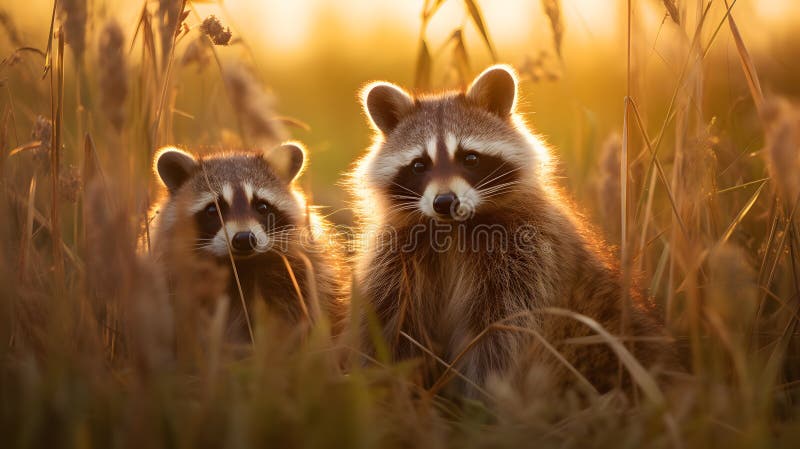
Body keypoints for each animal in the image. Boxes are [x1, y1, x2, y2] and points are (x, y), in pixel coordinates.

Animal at [349, 65, 676, 396]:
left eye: (470, 158)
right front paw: (391, 387)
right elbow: (390, 324)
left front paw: (482, 395)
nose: (444, 202)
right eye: (418, 165)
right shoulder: (393, 258)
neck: (452, 229)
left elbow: (503, 332)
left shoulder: (528, 257)